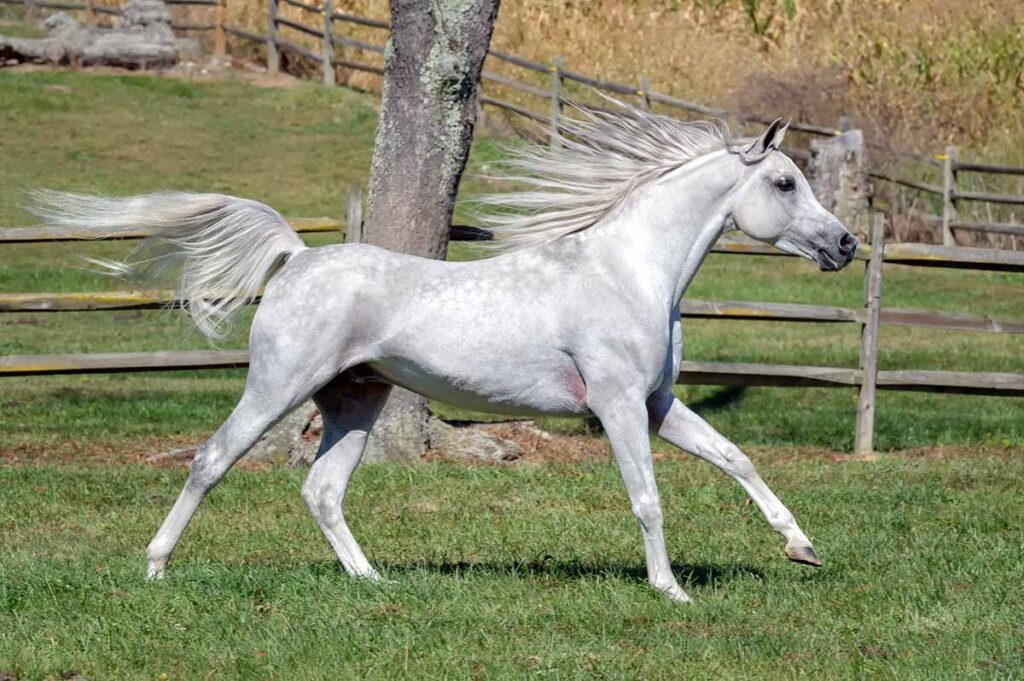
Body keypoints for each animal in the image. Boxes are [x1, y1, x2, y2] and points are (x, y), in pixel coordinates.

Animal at [33, 107, 857, 603]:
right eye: (784, 181)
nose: (845, 244)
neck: (628, 270)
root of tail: (298, 257)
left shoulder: (656, 403)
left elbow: (737, 457)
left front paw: (803, 548)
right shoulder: (617, 405)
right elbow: (648, 498)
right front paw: (671, 590)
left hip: (356, 400)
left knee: (322, 491)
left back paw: (373, 582)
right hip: (277, 387)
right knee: (211, 461)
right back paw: (155, 568)